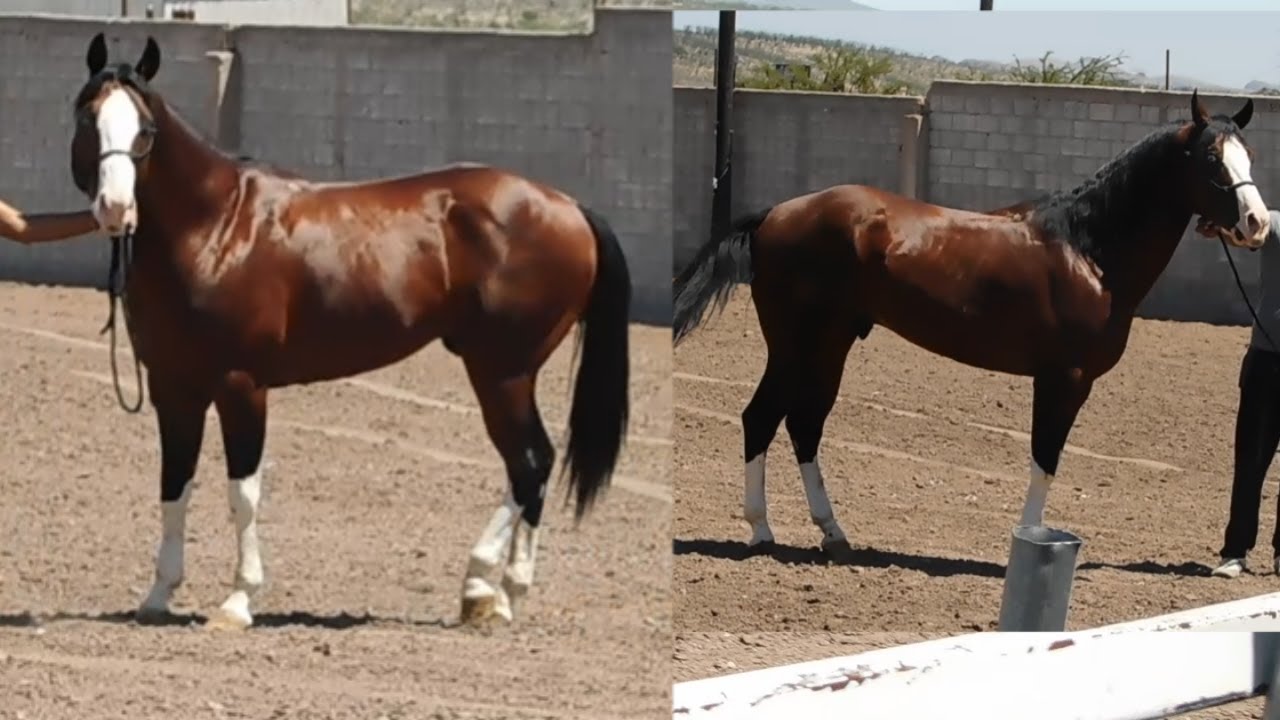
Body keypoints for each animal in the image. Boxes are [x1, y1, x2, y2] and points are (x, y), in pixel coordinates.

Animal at [67, 33, 632, 630]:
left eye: (145, 130)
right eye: (88, 118)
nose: (115, 208)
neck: (217, 228)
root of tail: (569, 207)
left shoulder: (241, 386)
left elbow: (243, 494)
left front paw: (238, 601)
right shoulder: (174, 390)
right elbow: (174, 486)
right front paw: (158, 595)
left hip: (503, 372)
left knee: (530, 463)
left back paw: (488, 588)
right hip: (504, 374)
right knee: (528, 466)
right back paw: (497, 594)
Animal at [673, 91, 1268, 561]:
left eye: (1249, 155)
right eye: (1211, 158)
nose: (1257, 223)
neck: (1089, 250)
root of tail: (775, 214)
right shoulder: (1064, 380)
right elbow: (1044, 460)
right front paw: (1029, 542)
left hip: (829, 345)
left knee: (802, 425)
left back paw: (832, 534)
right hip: (795, 345)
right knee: (761, 418)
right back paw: (762, 531)